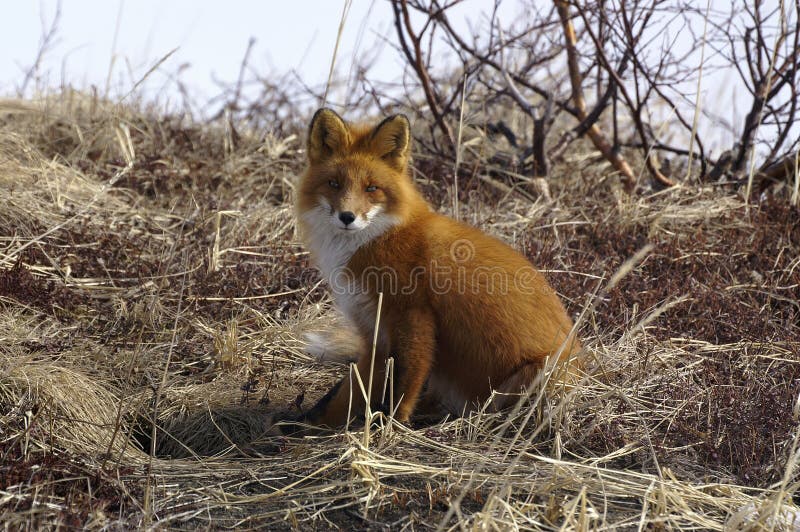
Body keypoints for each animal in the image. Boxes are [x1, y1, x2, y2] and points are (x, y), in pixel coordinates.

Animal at [289, 108, 581, 430]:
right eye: (335, 184)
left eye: (371, 188)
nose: (347, 217)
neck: (378, 240)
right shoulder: (374, 333)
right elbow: (349, 391)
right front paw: (311, 427)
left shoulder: (414, 316)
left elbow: (407, 382)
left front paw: (393, 426)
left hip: (533, 375)